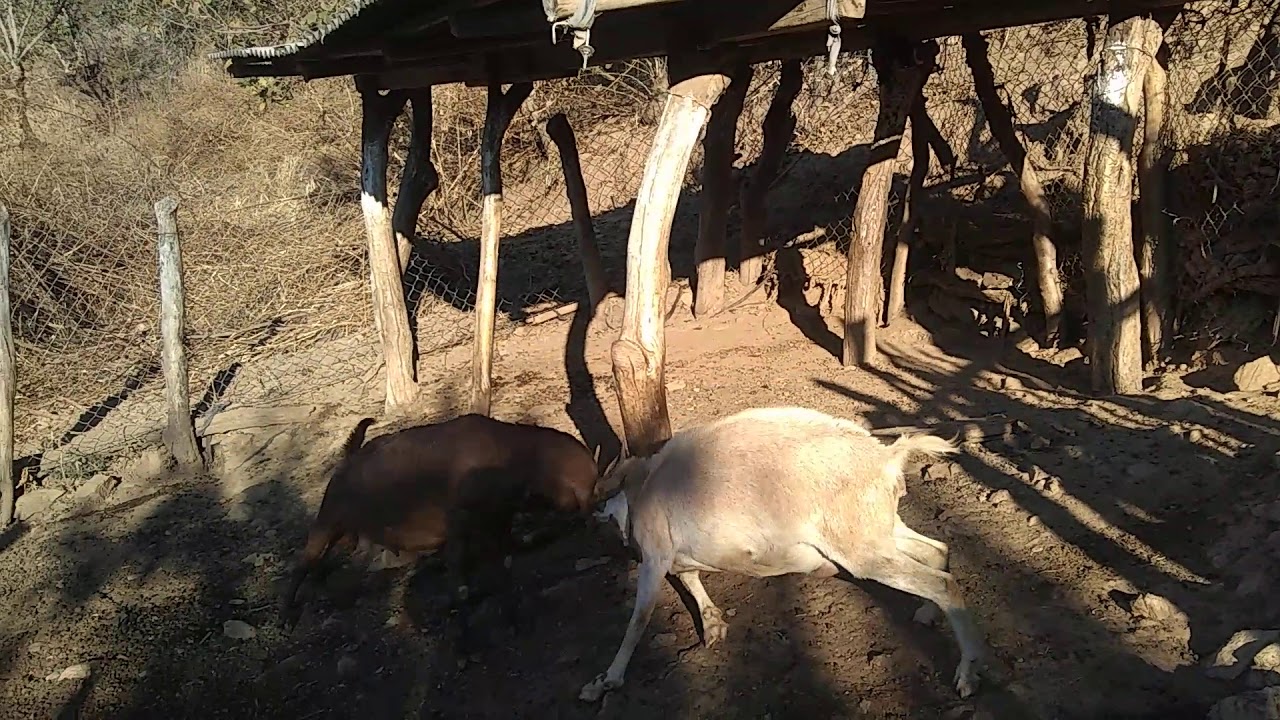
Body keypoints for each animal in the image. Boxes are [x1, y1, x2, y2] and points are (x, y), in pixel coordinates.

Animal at [281, 413, 602, 651]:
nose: (589, 516)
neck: (505, 457)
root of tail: (348, 458)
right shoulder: (458, 536)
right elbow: (460, 591)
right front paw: (464, 648)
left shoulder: (497, 531)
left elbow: (504, 576)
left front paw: (513, 623)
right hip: (327, 522)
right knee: (302, 563)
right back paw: (287, 616)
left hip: (345, 533)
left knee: (321, 563)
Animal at [582, 406, 986, 702]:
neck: (644, 487)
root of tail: (886, 458)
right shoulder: (680, 556)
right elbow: (690, 578)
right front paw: (713, 627)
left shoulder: (656, 557)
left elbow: (638, 620)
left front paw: (607, 680)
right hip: (880, 532)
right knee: (937, 551)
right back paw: (927, 615)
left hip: (863, 550)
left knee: (943, 583)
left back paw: (966, 676)